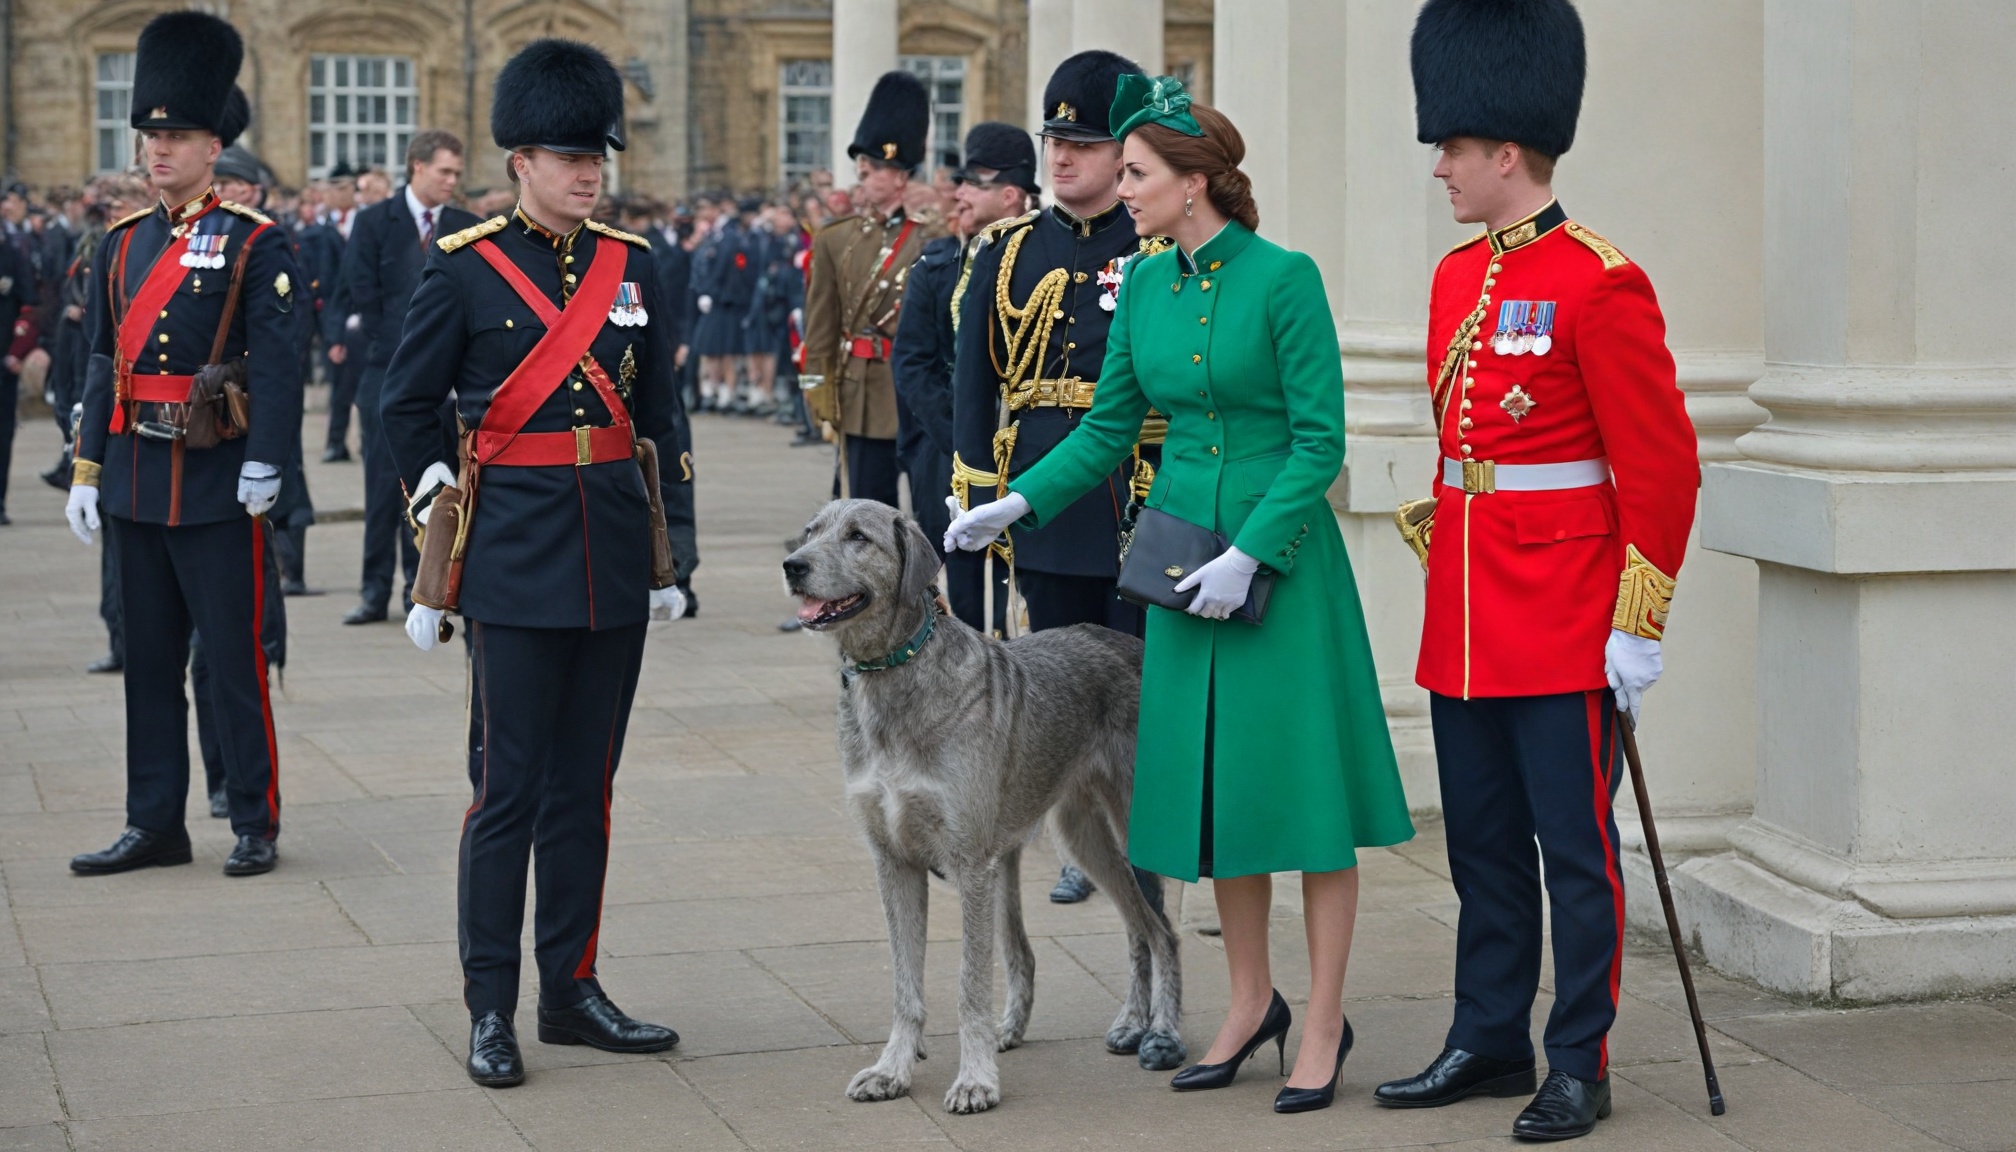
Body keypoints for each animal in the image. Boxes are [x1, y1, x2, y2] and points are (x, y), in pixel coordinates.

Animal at [782, 500, 1185, 1113]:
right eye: (810, 533)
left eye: (858, 537)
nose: (792, 565)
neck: (895, 675)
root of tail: (1132, 645)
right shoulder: (894, 861)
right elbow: (906, 985)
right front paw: (893, 1069)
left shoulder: (970, 864)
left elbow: (970, 987)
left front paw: (975, 1080)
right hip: (1081, 836)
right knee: (1134, 929)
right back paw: (1124, 1023)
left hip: (1132, 833)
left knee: (1164, 934)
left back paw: (1162, 1034)